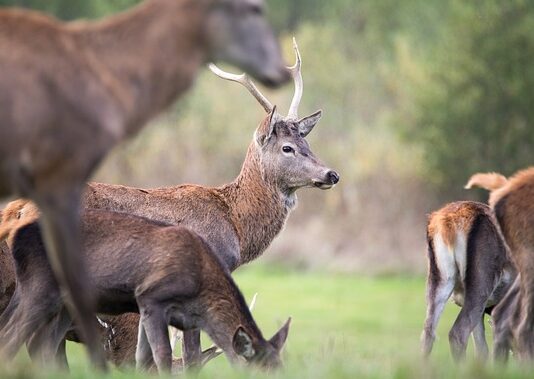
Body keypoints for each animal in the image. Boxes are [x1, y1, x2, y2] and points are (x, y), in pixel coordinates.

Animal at [0, 209, 294, 376]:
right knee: (12, 337)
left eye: (281, 370)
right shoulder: (152, 297)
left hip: (59, 302)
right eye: (261, 372)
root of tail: (16, 232)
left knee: (42, 345)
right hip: (41, 287)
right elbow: (162, 355)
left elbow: (144, 358)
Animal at [420, 200, 516, 360]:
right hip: (481, 281)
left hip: (439, 279)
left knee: (427, 333)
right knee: (458, 332)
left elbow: (483, 350)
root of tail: (448, 223)